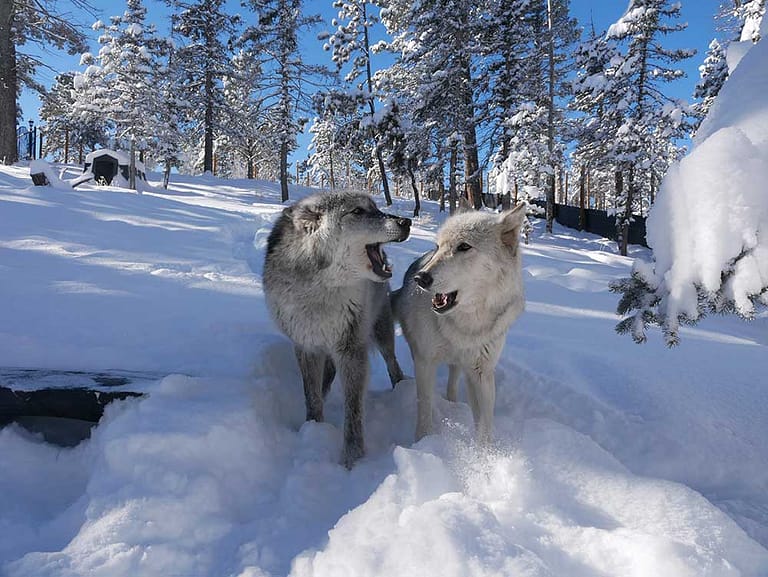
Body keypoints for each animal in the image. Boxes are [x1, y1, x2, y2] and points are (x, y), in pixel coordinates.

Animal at [263, 190, 411, 467]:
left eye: (376, 208)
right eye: (358, 211)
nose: (406, 222)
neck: (321, 291)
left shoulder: (351, 349)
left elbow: (353, 410)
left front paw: (352, 459)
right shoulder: (306, 345)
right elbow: (310, 395)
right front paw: (313, 428)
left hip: (381, 331)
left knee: (392, 362)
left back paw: (402, 389)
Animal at [393, 203, 526, 444]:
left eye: (464, 246)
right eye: (438, 247)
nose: (420, 278)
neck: (465, 325)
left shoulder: (481, 372)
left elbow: (485, 423)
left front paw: (484, 452)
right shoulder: (424, 361)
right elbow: (424, 406)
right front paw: (422, 442)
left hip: (462, 366)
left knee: (453, 379)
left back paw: (453, 403)